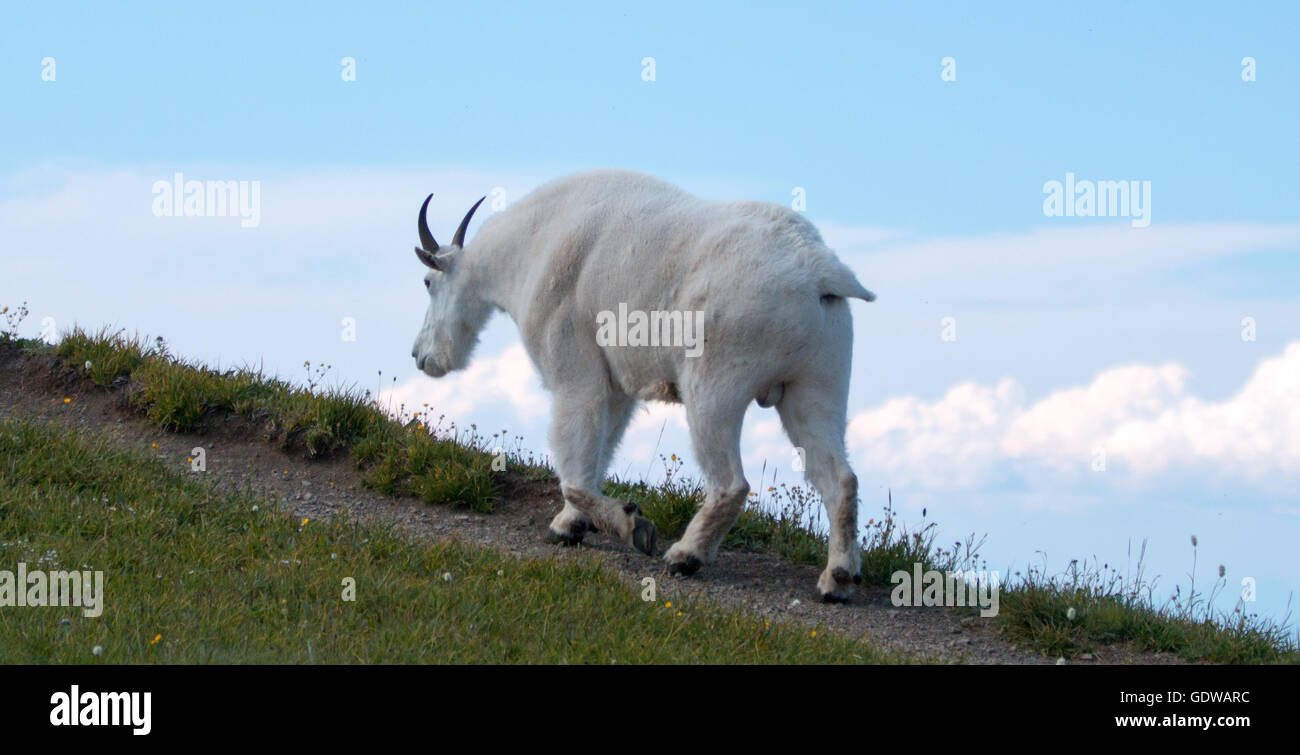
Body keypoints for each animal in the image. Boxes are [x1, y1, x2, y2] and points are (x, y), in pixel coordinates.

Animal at [410, 170, 876, 601]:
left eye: (428, 283)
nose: (420, 356)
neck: (530, 248)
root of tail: (819, 273)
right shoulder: (615, 388)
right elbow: (597, 454)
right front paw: (568, 525)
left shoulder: (575, 376)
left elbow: (574, 471)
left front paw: (631, 524)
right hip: (817, 385)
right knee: (839, 478)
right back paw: (837, 579)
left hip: (715, 386)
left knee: (732, 483)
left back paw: (685, 556)